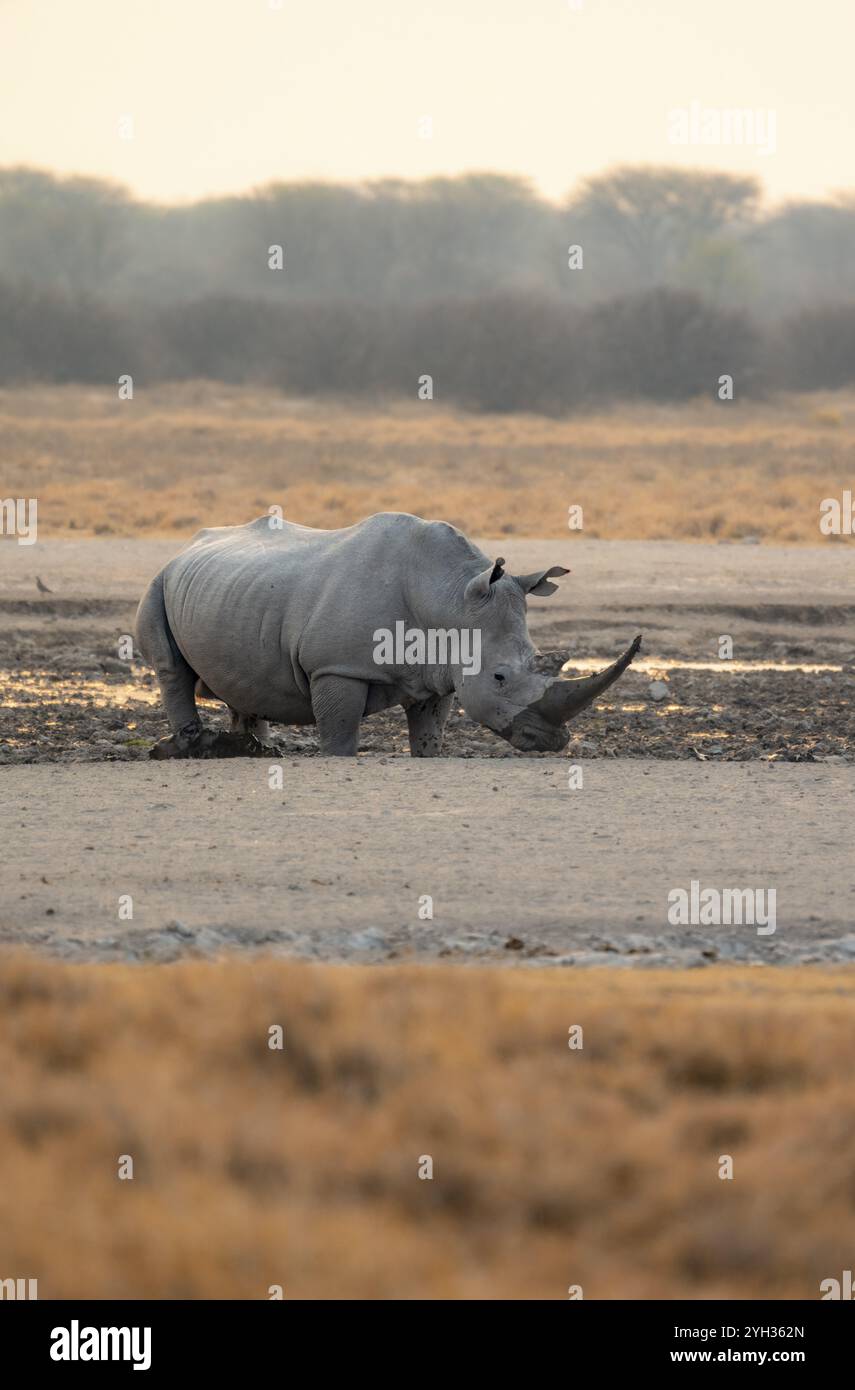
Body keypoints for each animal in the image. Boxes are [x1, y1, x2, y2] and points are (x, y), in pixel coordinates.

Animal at [135, 512, 641, 758]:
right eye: (499, 677)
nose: (553, 741)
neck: (450, 597)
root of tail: (189, 545)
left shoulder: (439, 673)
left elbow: (429, 735)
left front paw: (428, 755)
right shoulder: (336, 667)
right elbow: (340, 736)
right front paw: (336, 756)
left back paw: (255, 749)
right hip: (160, 579)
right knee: (170, 667)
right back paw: (191, 749)